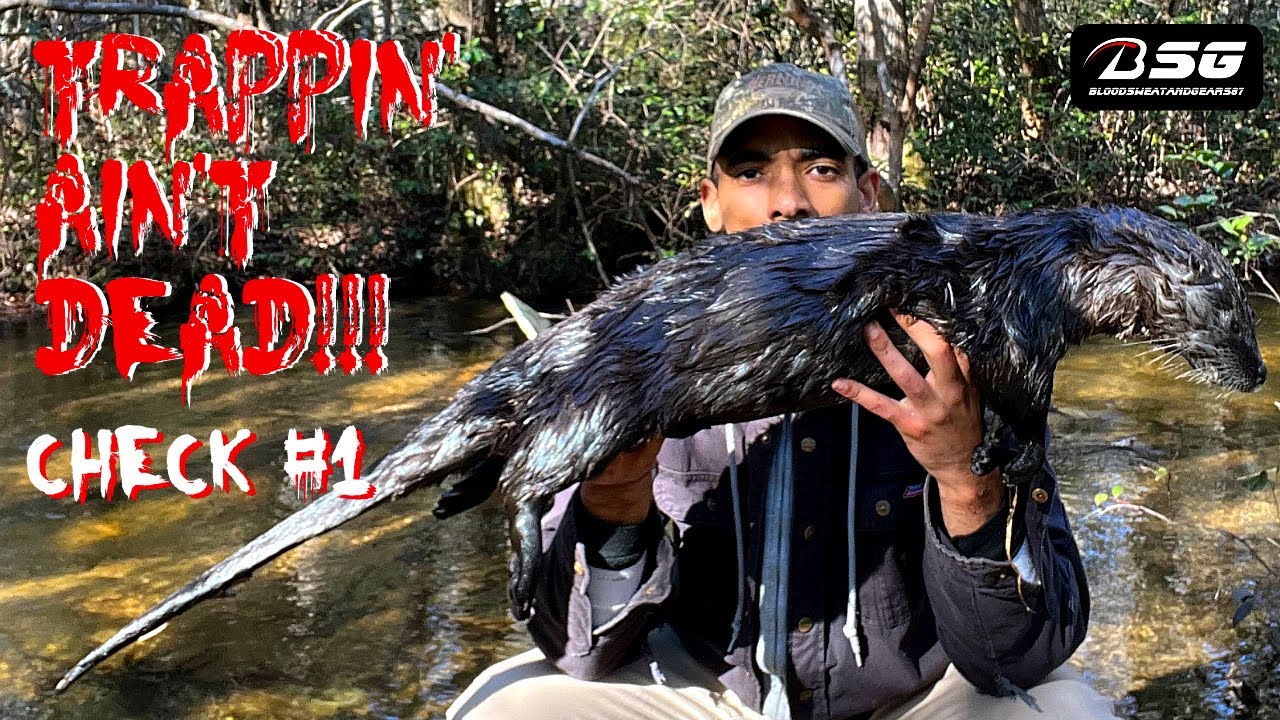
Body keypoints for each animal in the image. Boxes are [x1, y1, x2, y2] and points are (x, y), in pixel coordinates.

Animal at [56, 206, 1266, 692]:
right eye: (1228, 314)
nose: (1257, 374)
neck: (1044, 265)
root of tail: (539, 362)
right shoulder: (1014, 334)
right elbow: (1019, 426)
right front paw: (1014, 475)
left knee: (491, 472)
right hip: (593, 410)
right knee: (526, 480)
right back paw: (504, 551)